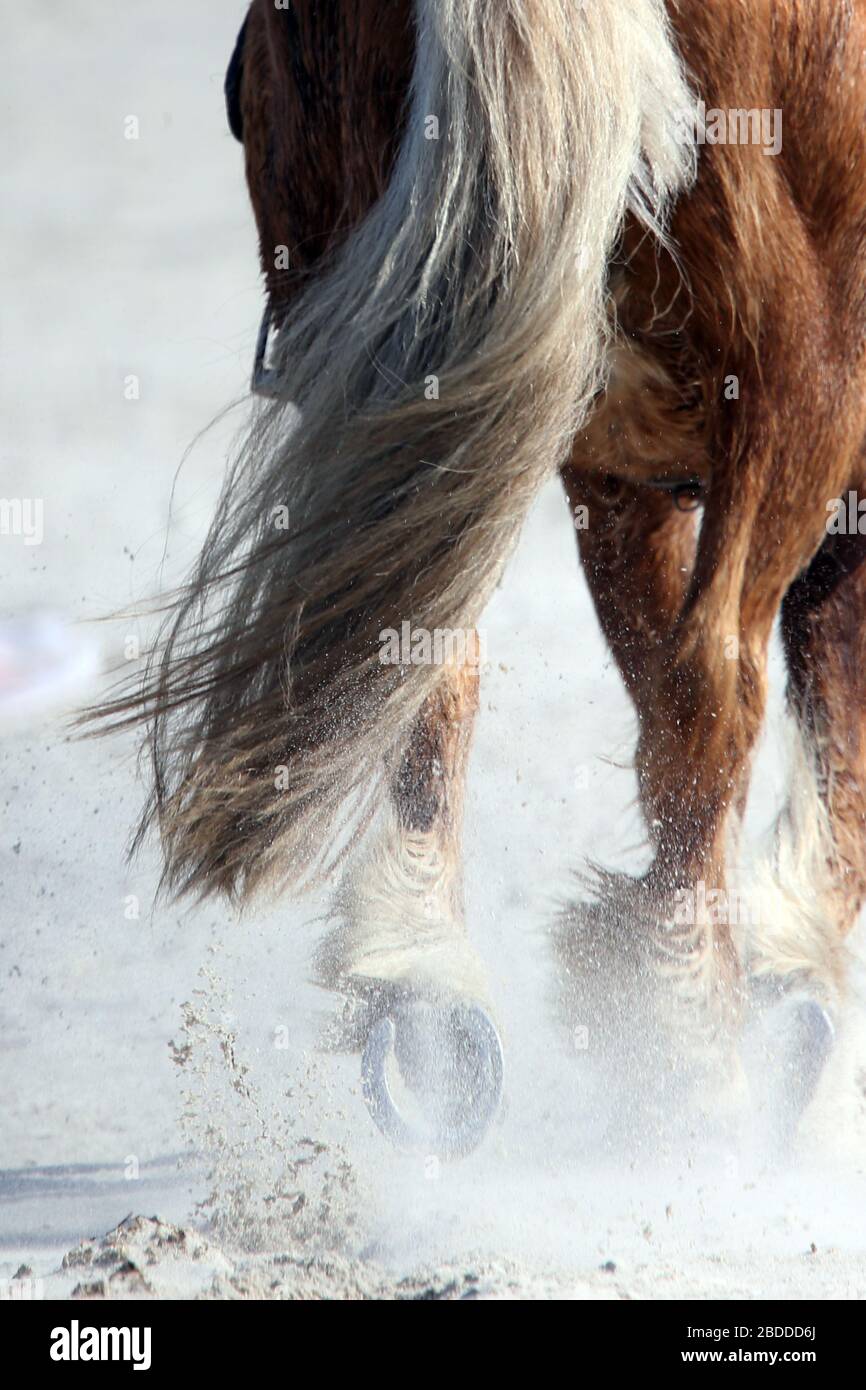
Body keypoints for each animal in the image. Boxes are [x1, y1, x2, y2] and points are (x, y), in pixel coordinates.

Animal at [94, 0, 866, 1157]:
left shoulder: (616, 473)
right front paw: (780, 966)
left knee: (427, 648)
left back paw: (428, 985)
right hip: (802, 382)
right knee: (716, 680)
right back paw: (698, 1060)